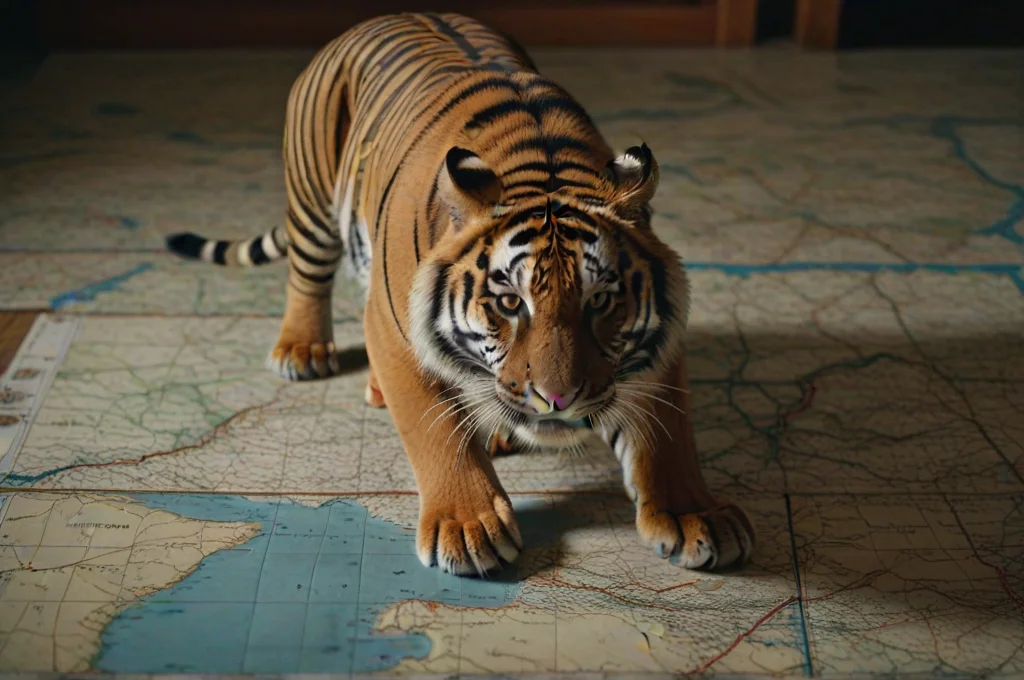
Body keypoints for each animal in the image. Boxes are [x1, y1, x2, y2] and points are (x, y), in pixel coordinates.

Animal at [167, 12, 754, 576]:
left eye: (600, 302)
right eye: (511, 303)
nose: (558, 400)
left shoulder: (656, 345)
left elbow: (667, 433)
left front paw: (695, 515)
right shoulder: (396, 331)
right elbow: (436, 429)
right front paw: (468, 527)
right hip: (313, 197)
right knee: (308, 276)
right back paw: (304, 351)